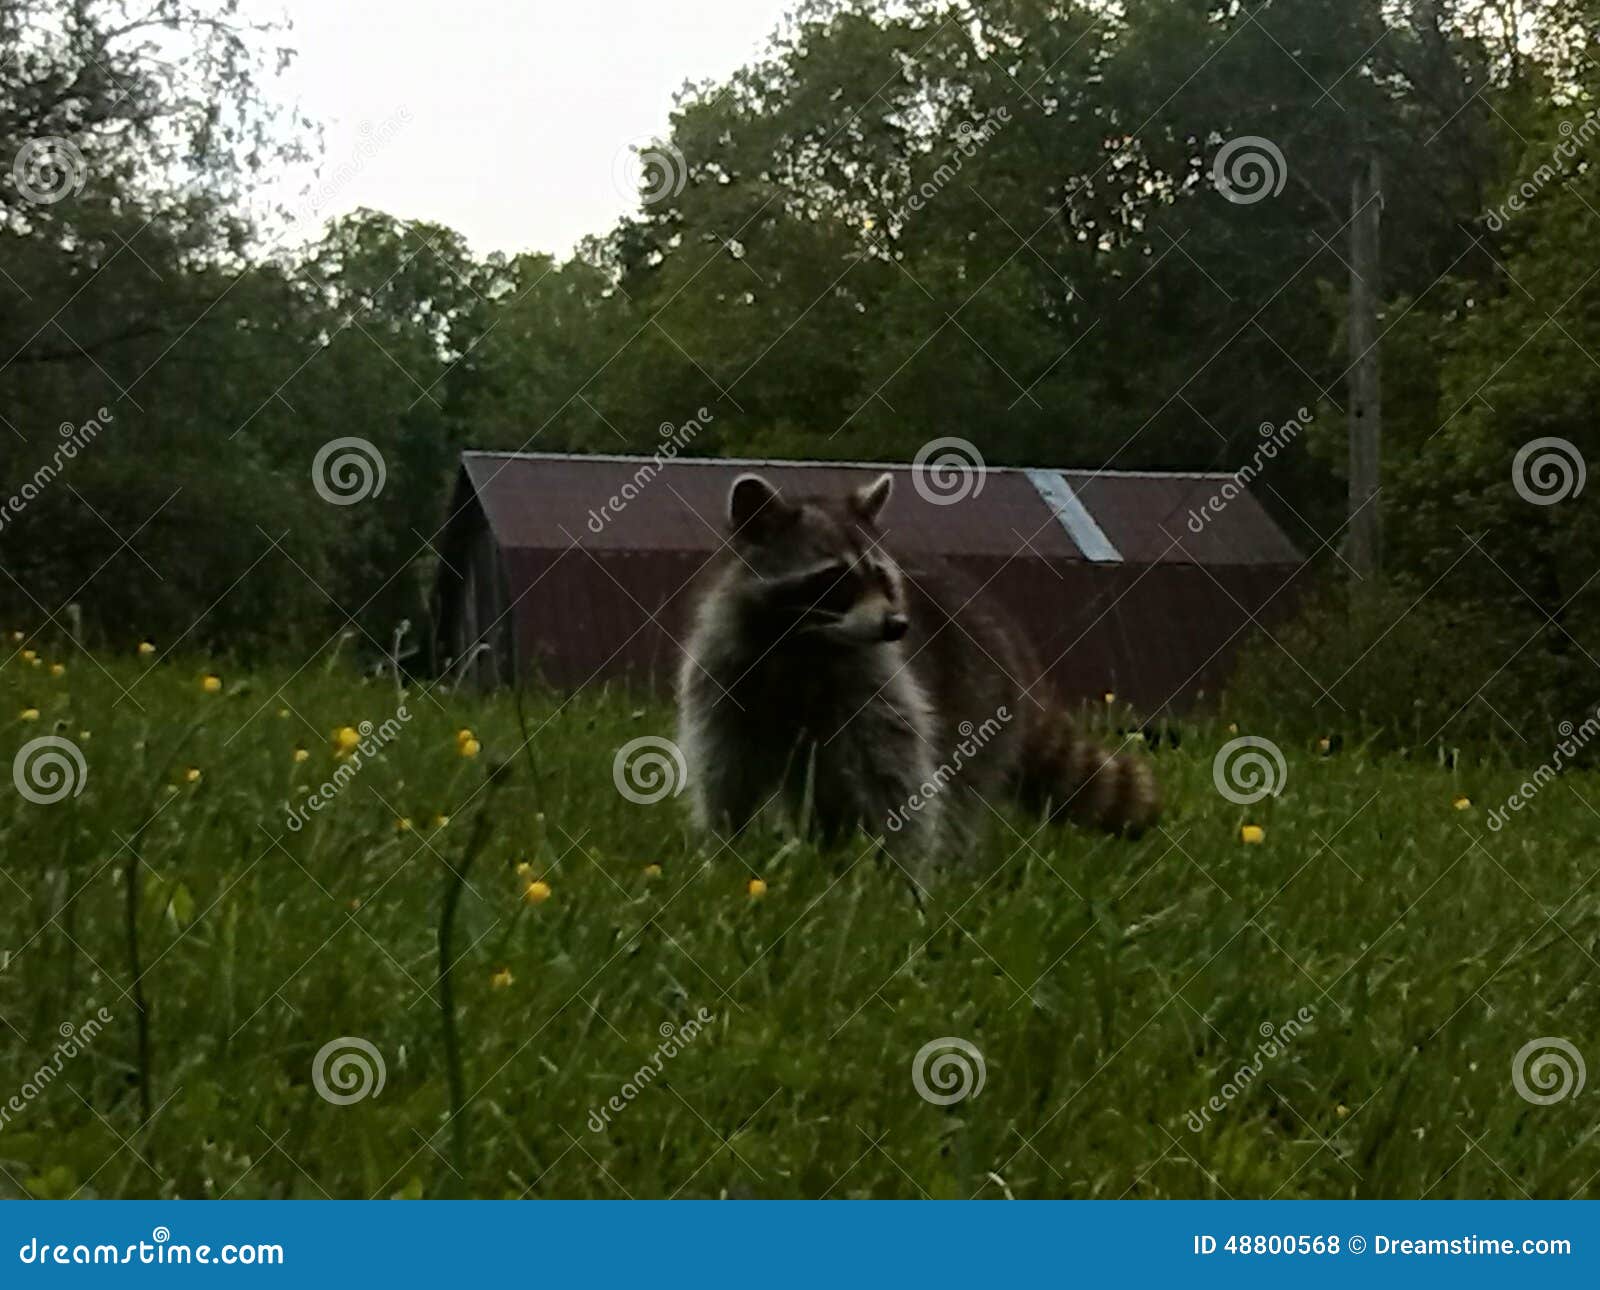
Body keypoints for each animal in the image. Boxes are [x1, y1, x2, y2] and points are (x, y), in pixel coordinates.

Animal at [675, 470, 1158, 870]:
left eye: (883, 578)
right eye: (837, 579)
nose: (896, 625)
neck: (804, 642)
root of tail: (1013, 646)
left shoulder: (879, 681)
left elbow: (898, 778)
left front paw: (900, 880)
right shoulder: (726, 669)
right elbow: (724, 768)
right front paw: (724, 854)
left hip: (978, 707)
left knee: (957, 793)